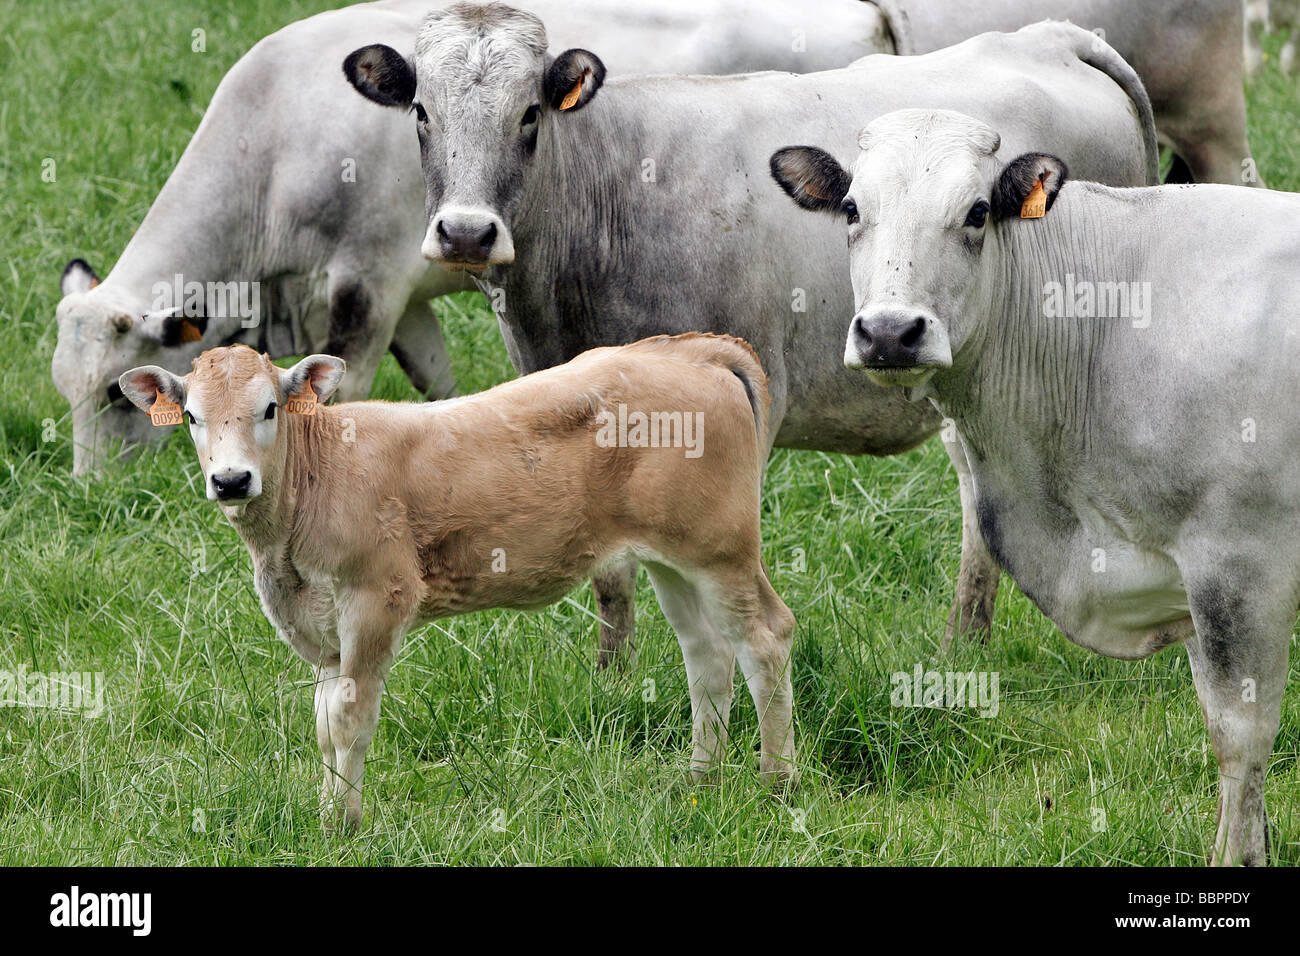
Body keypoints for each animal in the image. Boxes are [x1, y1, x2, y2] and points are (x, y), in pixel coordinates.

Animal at [52, 0, 908, 479]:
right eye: (69, 395)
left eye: (117, 396)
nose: (94, 495)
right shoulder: (403, 304)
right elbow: (438, 387)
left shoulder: (368, 283)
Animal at [116, 335, 796, 830]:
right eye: (192, 416)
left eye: (269, 408)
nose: (231, 480)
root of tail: (690, 350)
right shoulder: (322, 632)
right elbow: (323, 723)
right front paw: (326, 812)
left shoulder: (376, 600)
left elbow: (350, 719)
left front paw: (346, 826)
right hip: (672, 559)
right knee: (708, 656)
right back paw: (700, 780)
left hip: (721, 550)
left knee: (766, 639)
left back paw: (775, 785)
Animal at [343, 2, 1159, 666]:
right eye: (421, 112)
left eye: (529, 115)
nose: (467, 233)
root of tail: (1052, 37)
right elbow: (612, 574)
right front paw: (615, 675)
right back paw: (966, 644)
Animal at [771, 107, 1300, 865]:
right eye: (851, 209)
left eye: (976, 211)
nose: (891, 333)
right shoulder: (1184, 563)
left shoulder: (1240, 561)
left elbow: (1241, 737)